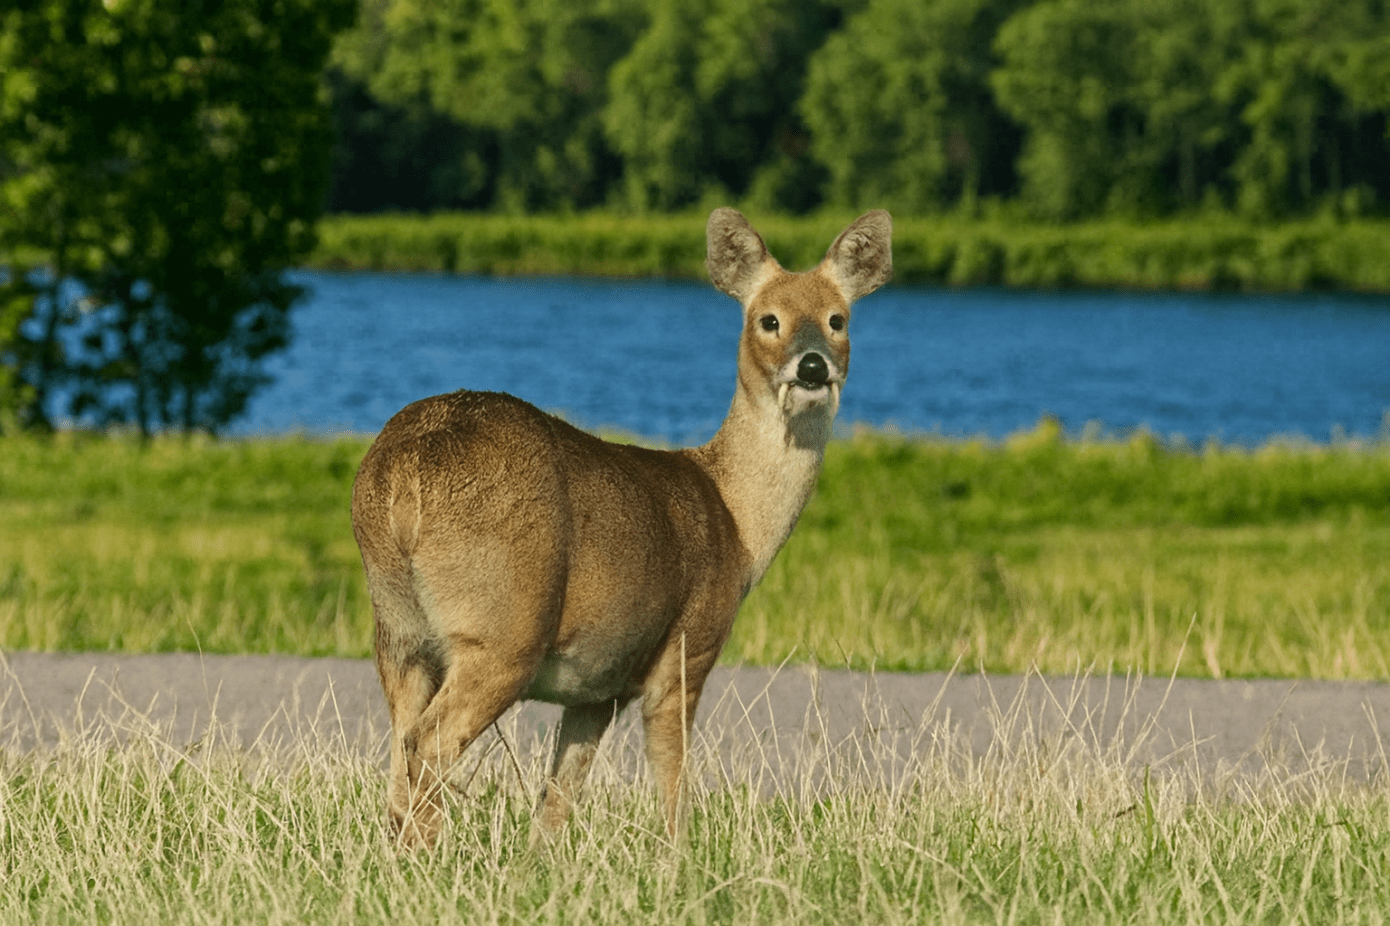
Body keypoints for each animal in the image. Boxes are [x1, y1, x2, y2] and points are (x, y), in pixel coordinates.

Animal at [351, 208, 892, 850]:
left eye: (838, 319)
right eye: (769, 320)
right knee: (430, 743)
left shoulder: (599, 685)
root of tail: (403, 473)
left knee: (398, 748)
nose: (812, 365)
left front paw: (541, 864)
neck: (736, 521)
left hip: (398, 629)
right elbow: (672, 777)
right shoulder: (687, 647)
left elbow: (557, 799)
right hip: (503, 627)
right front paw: (678, 859)